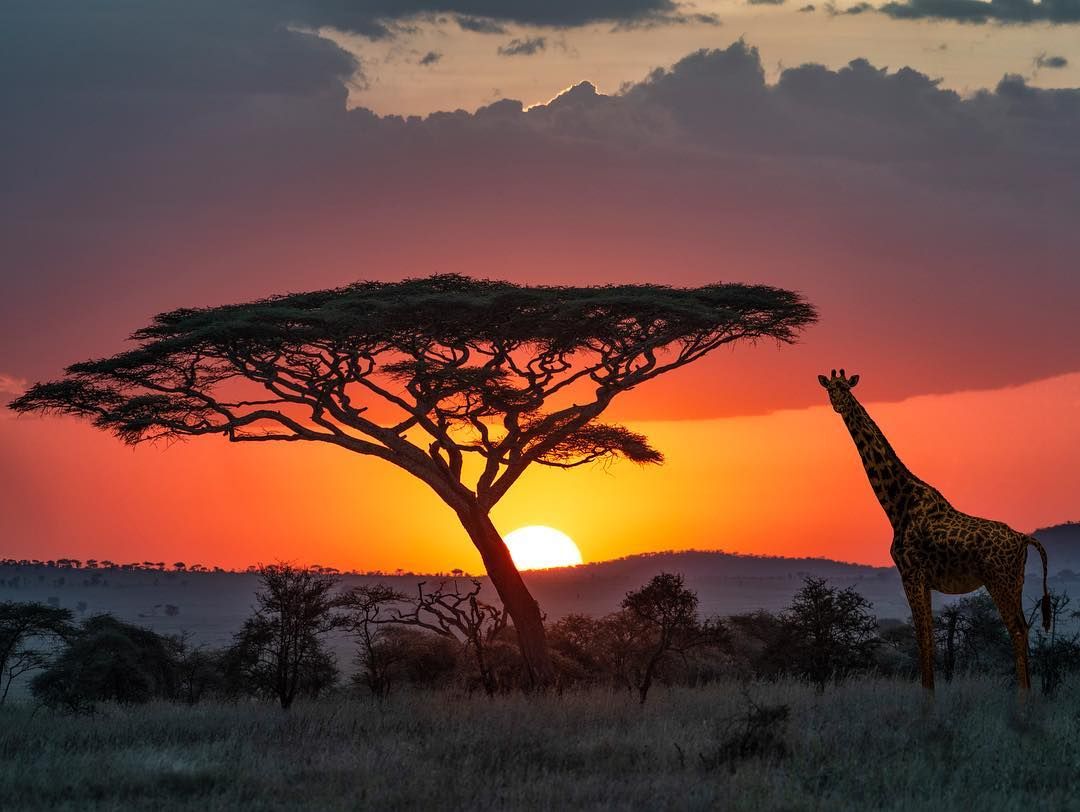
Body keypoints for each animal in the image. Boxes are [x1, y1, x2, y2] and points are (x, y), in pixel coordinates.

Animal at [816, 367, 1045, 691]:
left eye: (846, 388)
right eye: (830, 389)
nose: (839, 404)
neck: (897, 504)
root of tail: (1024, 539)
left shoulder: (911, 574)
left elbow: (923, 640)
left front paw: (927, 700)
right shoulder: (923, 580)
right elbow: (928, 640)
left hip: (998, 579)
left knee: (1016, 629)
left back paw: (1023, 699)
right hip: (1017, 580)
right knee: (1023, 628)